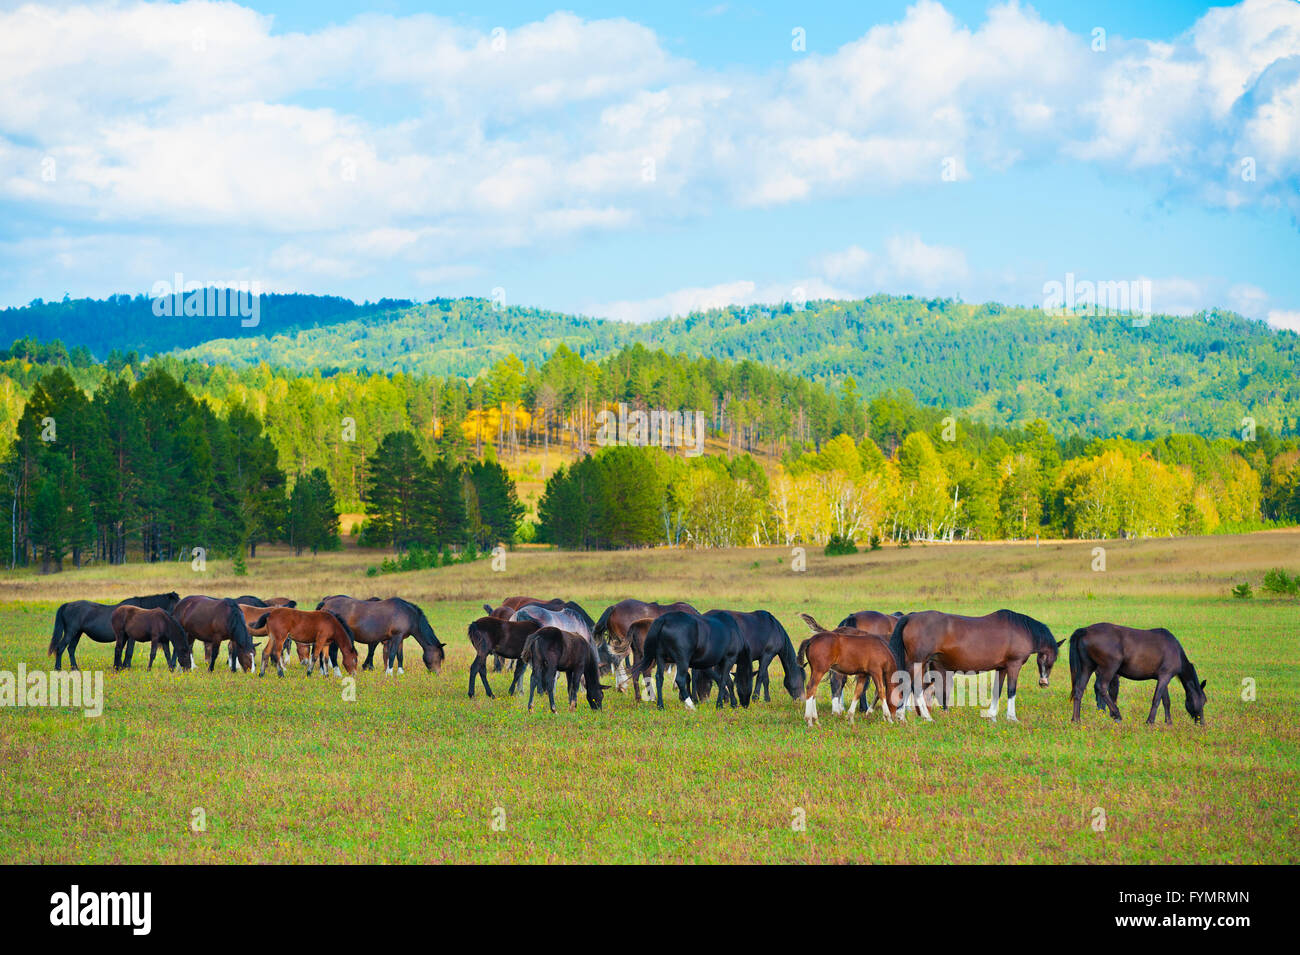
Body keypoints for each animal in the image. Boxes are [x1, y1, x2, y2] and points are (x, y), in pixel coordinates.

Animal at [48, 592, 180, 670]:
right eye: (177, 603)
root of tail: (68, 604)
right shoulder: (131, 638)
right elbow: (129, 652)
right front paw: (126, 667)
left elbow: (123, 651)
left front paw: (121, 666)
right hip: (71, 632)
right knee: (60, 648)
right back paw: (58, 668)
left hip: (77, 633)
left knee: (71, 649)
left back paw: (75, 668)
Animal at [315, 595, 445, 675]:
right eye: (439, 655)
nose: (438, 673)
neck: (408, 614)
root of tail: (326, 602)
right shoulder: (396, 637)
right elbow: (392, 655)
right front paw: (389, 673)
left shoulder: (400, 638)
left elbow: (400, 655)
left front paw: (400, 673)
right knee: (332, 654)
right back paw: (336, 673)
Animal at [888, 610, 1064, 722]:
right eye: (1053, 659)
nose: (1044, 683)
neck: (1021, 630)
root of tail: (910, 618)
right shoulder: (1014, 665)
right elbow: (1011, 690)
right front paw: (1012, 717)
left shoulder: (1002, 668)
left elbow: (997, 690)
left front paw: (992, 716)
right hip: (919, 662)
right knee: (914, 687)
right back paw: (925, 717)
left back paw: (903, 716)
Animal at [1069, 623, 1207, 725]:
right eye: (1203, 700)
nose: (1202, 723)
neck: (1176, 651)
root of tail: (1085, 630)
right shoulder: (1165, 676)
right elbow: (1157, 699)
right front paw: (1150, 721)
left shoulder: (1163, 678)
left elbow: (1166, 701)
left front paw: (1168, 722)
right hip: (1109, 668)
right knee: (1101, 687)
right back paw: (1117, 714)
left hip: (1087, 667)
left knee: (1079, 690)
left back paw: (1076, 719)